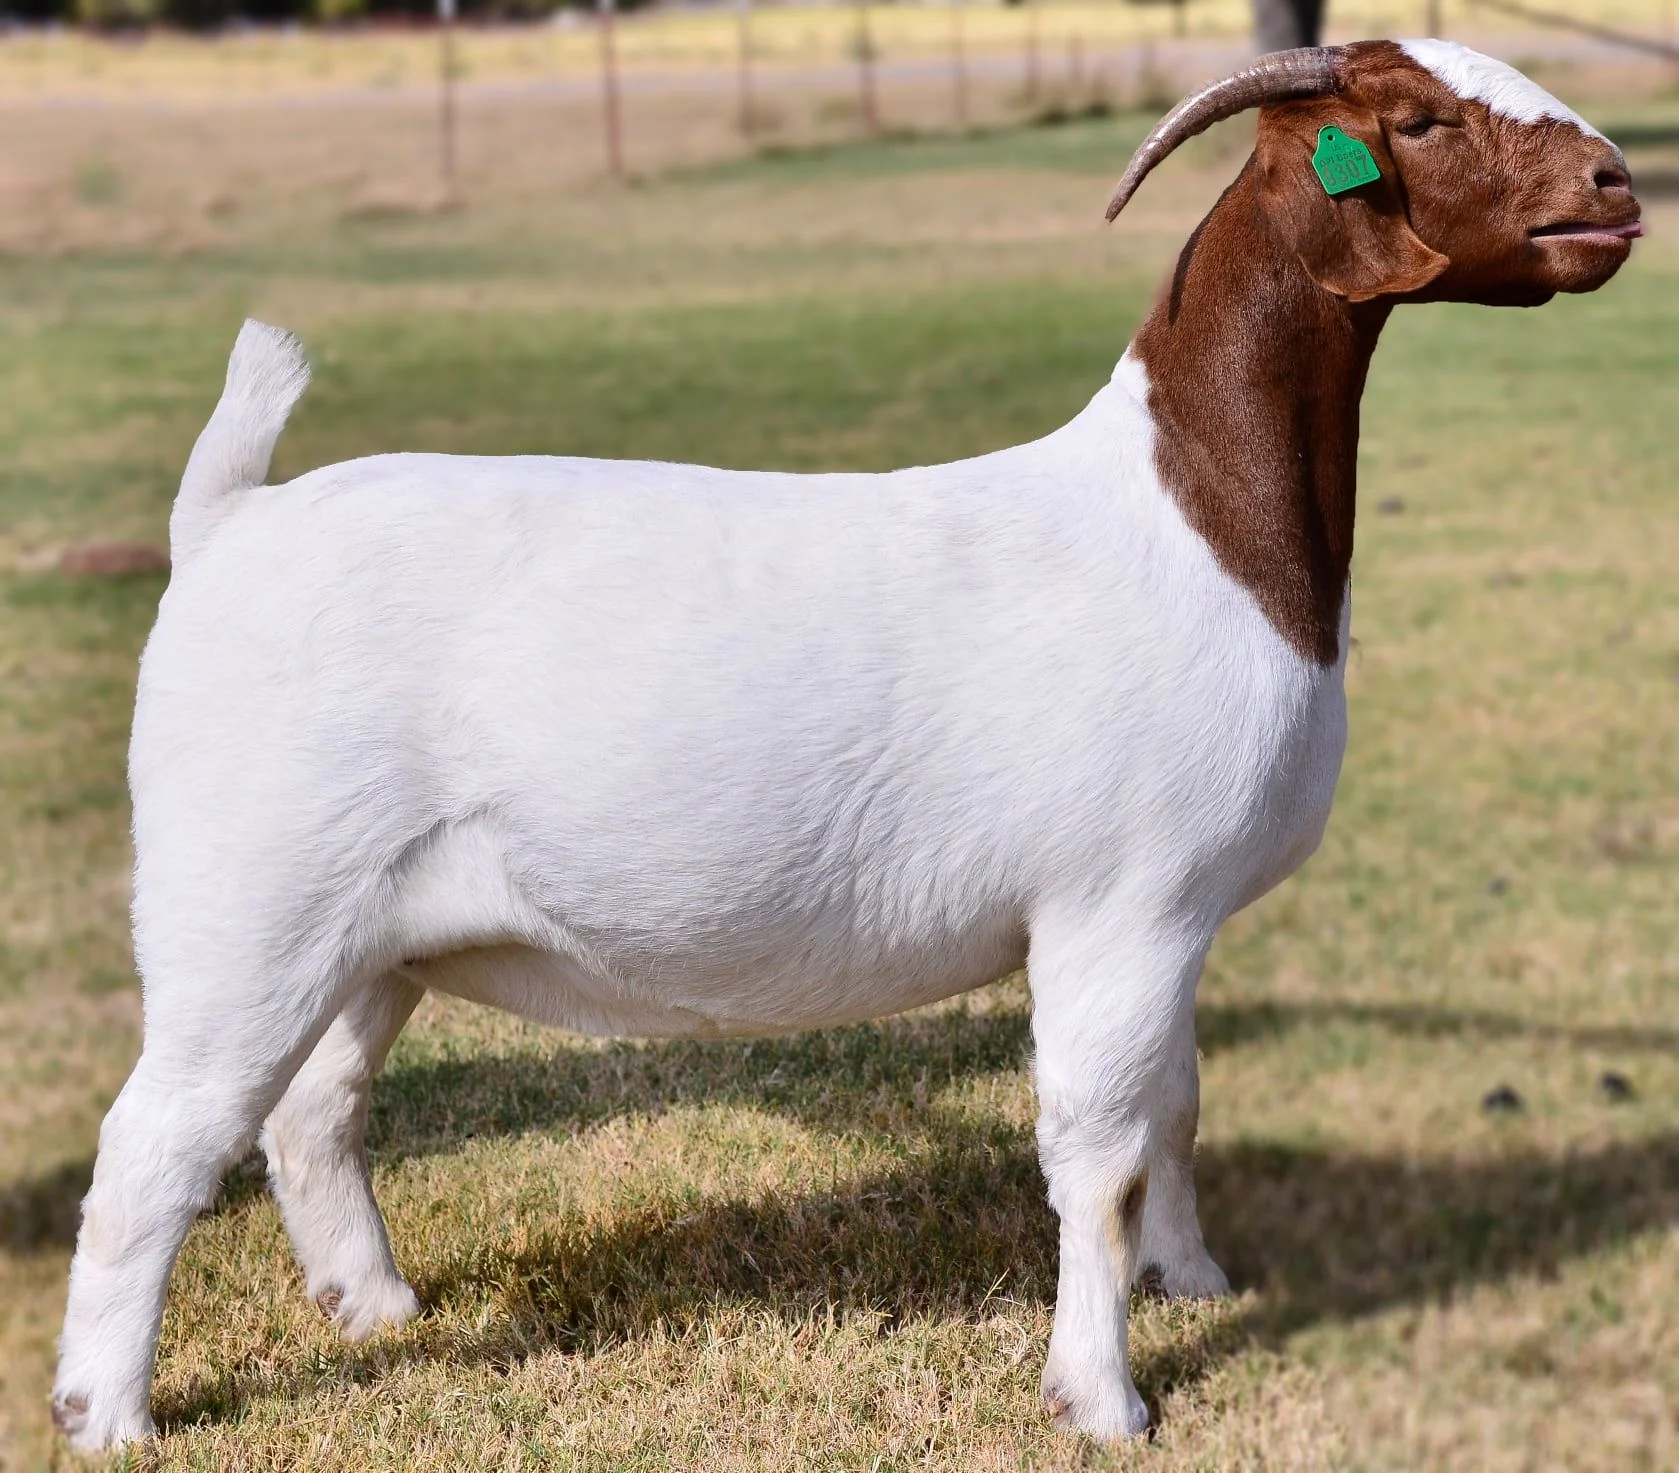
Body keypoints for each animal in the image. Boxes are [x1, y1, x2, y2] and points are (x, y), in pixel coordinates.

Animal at [54, 40, 1640, 1451]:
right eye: (1418, 118)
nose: (1616, 185)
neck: (1189, 518)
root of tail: (227, 523)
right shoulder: (1114, 906)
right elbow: (1100, 1155)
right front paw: (1103, 1398)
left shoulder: (1173, 917)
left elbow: (1174, 1113)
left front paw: (1191, 1283)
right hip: (245, 901)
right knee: (156, 1145)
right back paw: (111, 1416)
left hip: (368, 931)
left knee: (310, 1115)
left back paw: (377, 1309)